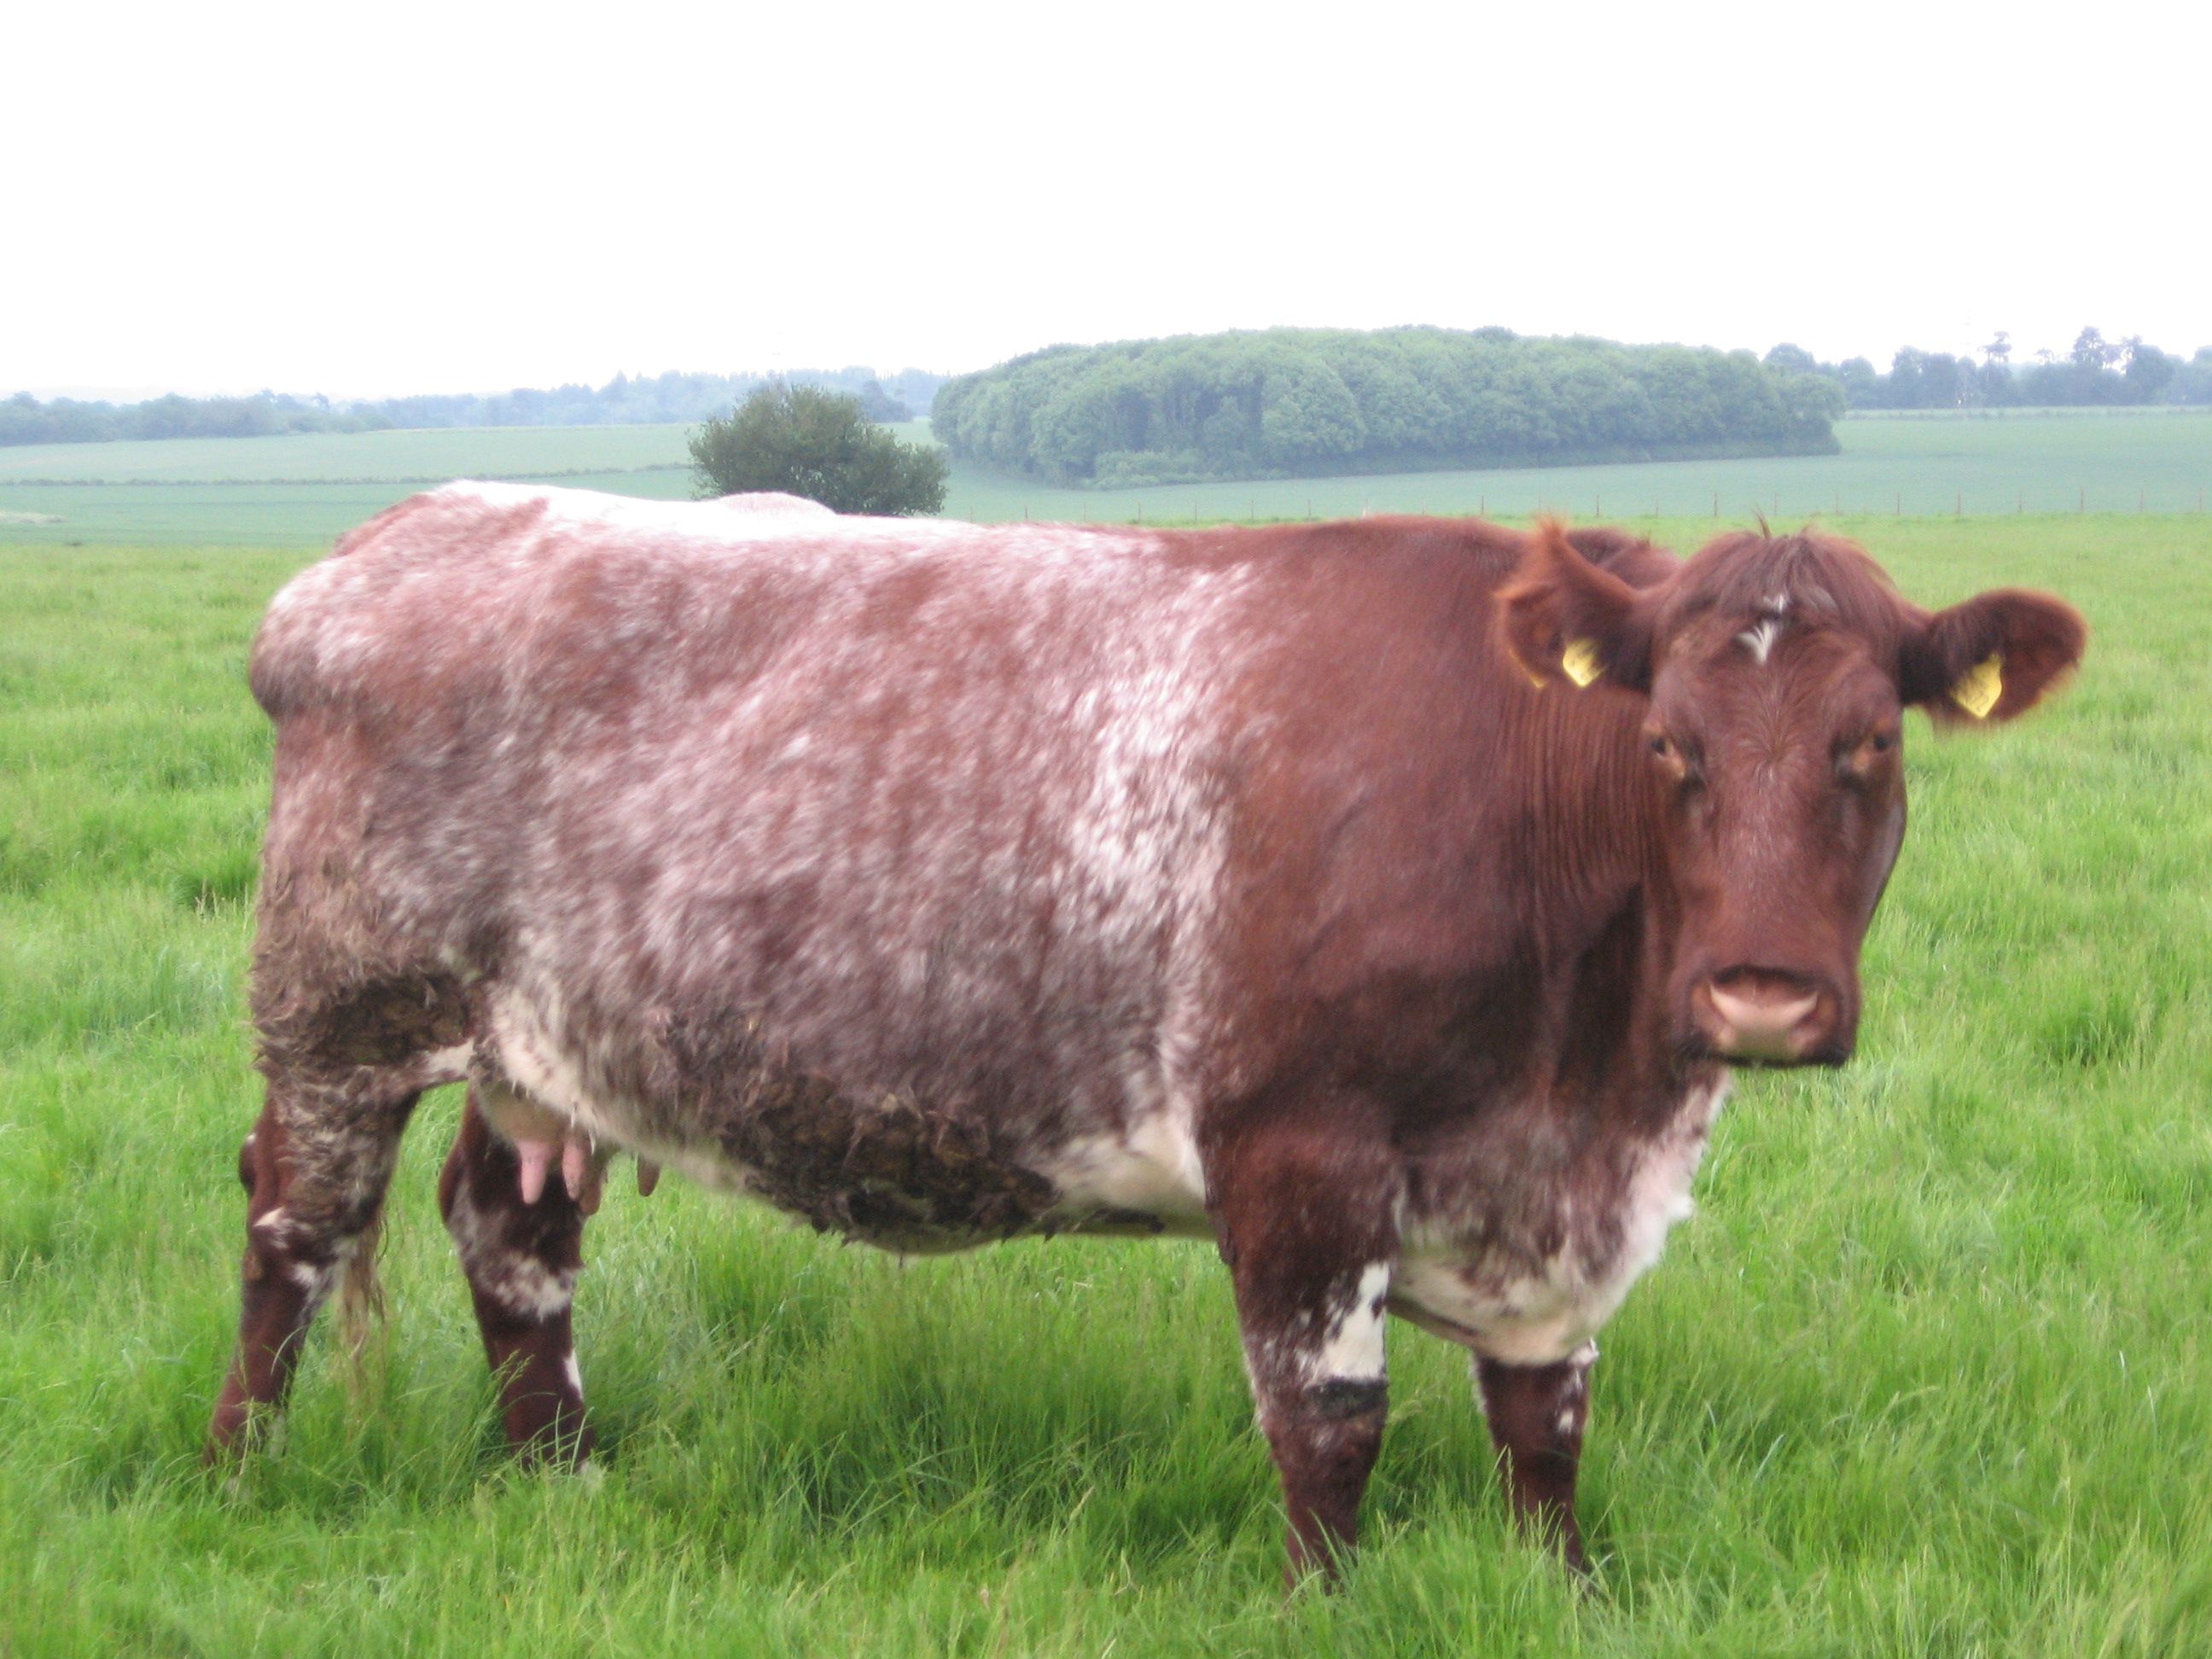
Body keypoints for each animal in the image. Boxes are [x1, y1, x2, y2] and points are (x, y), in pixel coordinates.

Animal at [209, 483, 2084, 1579]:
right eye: (1670, 745)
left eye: (1869, 743)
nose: (1760, 993)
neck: (1591, 1078)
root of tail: (402, 530)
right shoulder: (1303, 1150)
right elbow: (1331, 1421)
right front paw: (1338, 1607)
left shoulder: (1554, 1194)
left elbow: (1545, 1420)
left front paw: (1562, 1592)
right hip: (339, 1009)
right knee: (295, 1228)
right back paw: (243, 1470)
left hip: (537, 1046)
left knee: (508, 1234)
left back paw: (565, 1479)